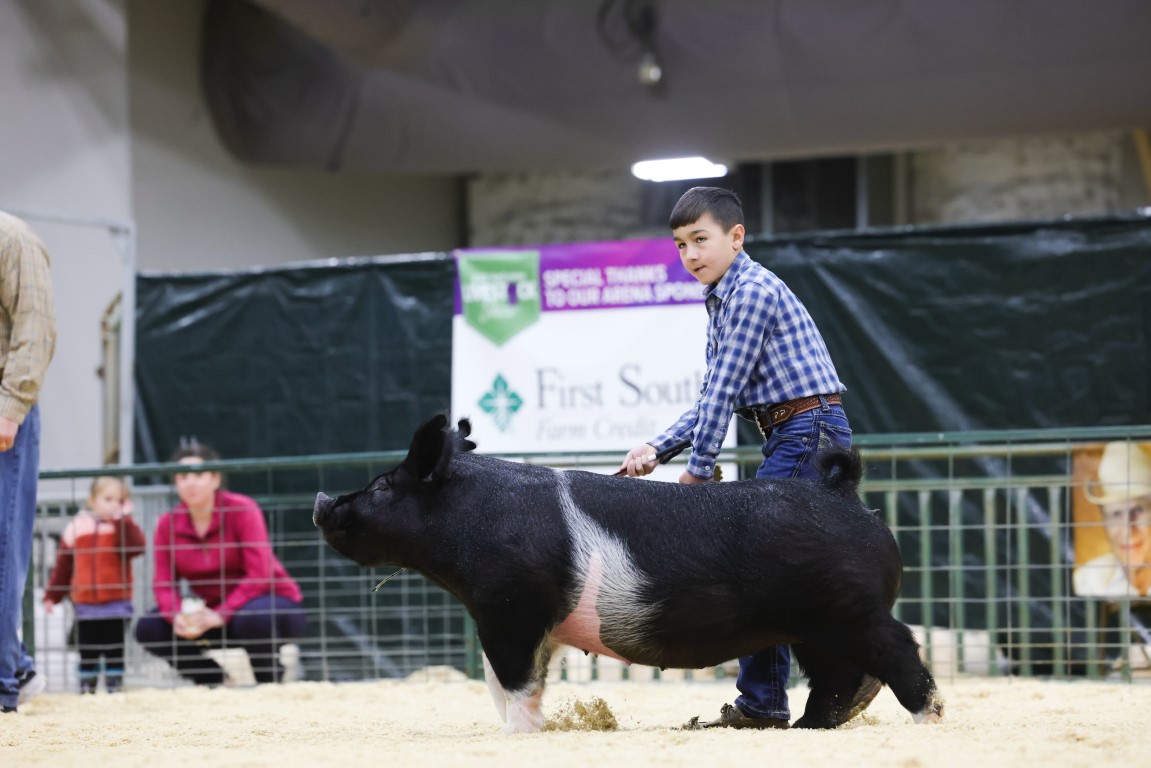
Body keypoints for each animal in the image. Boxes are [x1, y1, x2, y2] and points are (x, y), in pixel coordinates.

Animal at [313, 413, 944, 734]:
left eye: (382, 487)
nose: (322, 499)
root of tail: (844, 495)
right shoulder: (530, 622)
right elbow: (512, 682)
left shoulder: (511, 607)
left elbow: (512, 682)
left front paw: (521, 736)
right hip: (816, 628)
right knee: (839, 678)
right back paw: (808, 730)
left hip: (851, 611)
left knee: (899, 650)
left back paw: (927, 721)